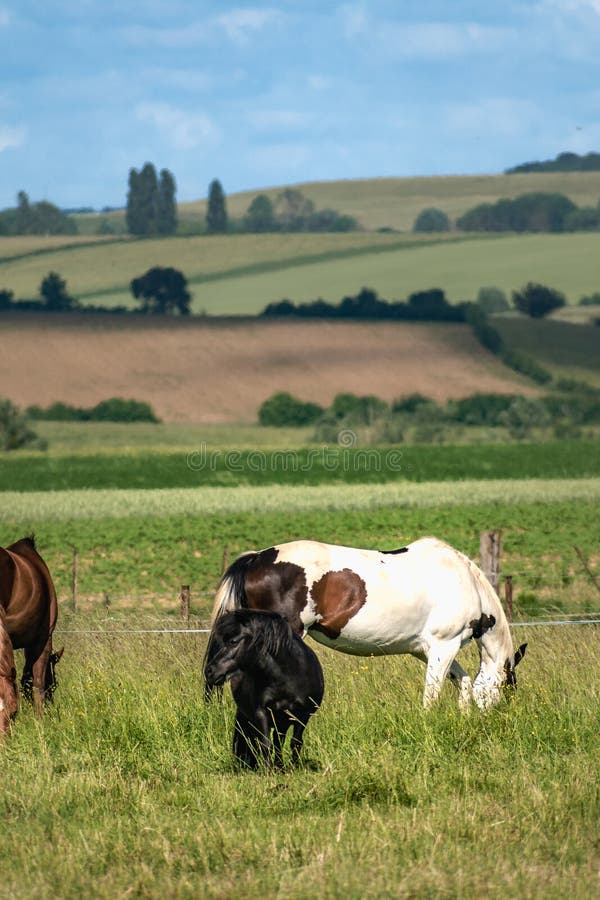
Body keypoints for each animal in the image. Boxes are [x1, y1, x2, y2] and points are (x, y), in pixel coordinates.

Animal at [204, 609, 324, 769]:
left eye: (233, 641)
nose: (210, 671)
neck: (288, 676)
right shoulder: (262, 713)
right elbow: (265, 744)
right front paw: (268, 770)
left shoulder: (303, 714)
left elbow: (296, 743)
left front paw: (295, 767)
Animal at [206, 537, 527, 711]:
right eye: (508, 687)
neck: (465, 581)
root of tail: (256, 559)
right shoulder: (443, 647)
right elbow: (432, 694)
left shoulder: (424, 651)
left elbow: (462, 681)